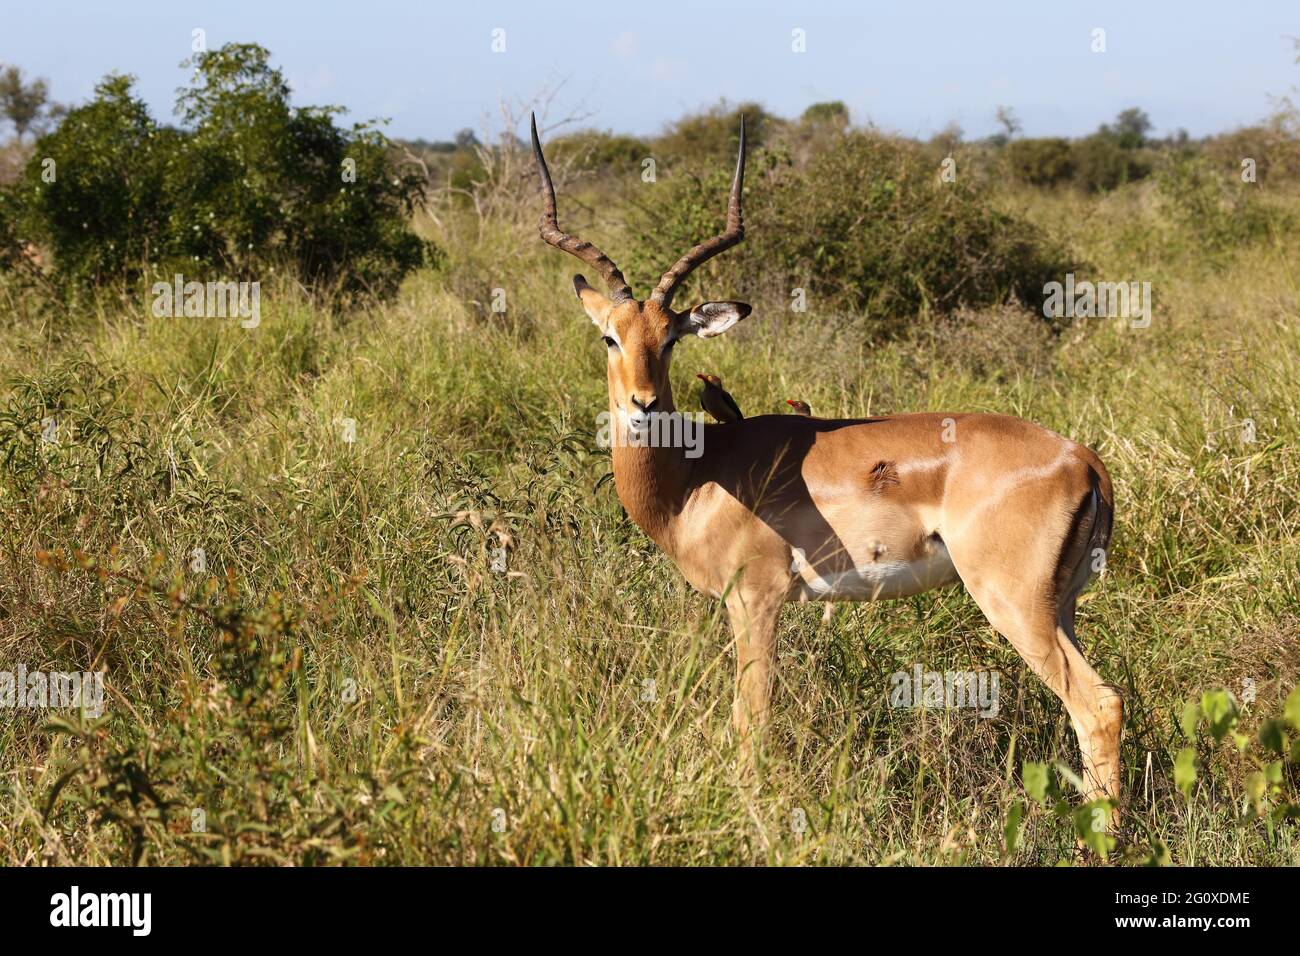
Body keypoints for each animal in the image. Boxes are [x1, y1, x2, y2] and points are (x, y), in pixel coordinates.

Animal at [530, 114, 1124, 805]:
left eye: (671, 338)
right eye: (610, 336)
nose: (643, 404)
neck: (695, 479)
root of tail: (1082, 459)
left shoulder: (755, 600)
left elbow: (752, 718)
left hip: (1013, 602)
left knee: (1098, 706)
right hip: (1062, 606)